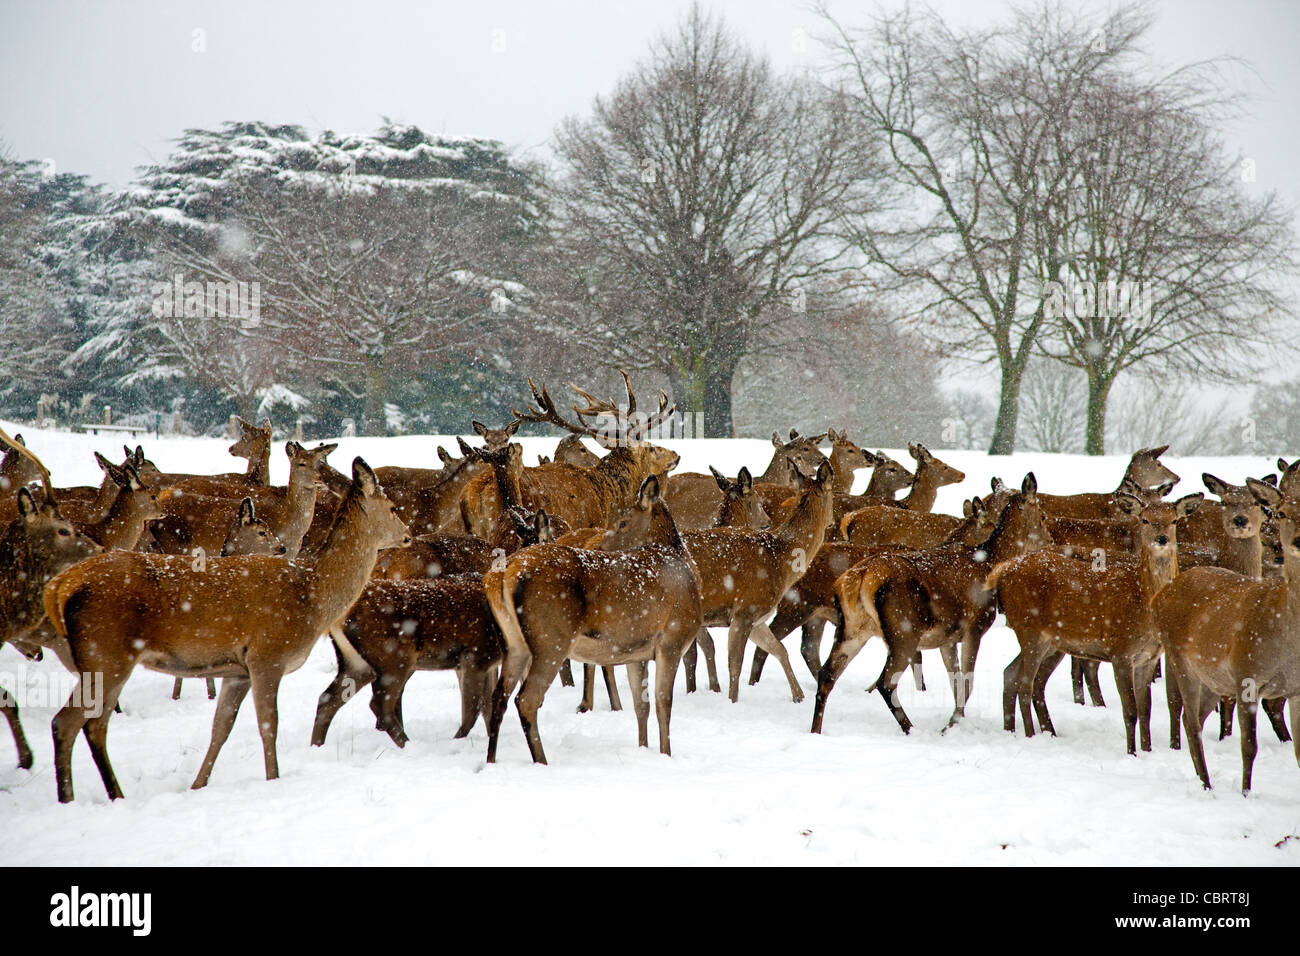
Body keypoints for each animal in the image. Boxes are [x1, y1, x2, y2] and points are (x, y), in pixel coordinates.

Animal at [44, 457, 411, 802]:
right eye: (393, 507)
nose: (408, 534)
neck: (312, 596)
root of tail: (62, 586)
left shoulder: (237, 670)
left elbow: (220, 728)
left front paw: (197, 784)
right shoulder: (268, 655)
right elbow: (268, 724)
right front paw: (273, 780)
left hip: (101, 658)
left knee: (82, 723)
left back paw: (92, 794)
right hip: (106, 653)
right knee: (79, 722)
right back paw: (89, 795)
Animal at [482, 475, 702, 765]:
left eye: (622, 522)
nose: (598, 547)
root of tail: (499, 576)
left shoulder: (638, 650)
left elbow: (640, 705)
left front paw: (643, 749)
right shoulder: (672, 639)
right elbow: (663, 703)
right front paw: (666, 754)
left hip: (513, 642)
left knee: (499, 697)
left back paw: (491, 760)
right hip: (551, 640)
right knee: (527, 699)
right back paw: (542, 761)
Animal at [813, 473, 1050, 736]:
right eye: (1043, 516)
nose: (1051, 542)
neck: (990, 561)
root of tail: (859, 578)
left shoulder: (947, 638)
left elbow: (955, 682)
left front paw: (957, 722)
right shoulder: (975, 625)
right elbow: (967, 683)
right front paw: (949, 726)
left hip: (852, 628)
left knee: (827, 674)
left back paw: (816, 729)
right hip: (904, 630)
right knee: (885, 682)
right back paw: (911, 728)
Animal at [989, 492, 1204, 755]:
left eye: (1173, 520)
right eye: (1144, 519)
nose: (1161, 539)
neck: (1142, 600)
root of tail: (1005, 570)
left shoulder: (1148, 657)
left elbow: (1146, 711)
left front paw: (1148, 750)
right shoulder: (1120, 649)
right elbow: (1130, 711)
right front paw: (1132, 753)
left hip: (1050, 642)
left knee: (1011, 673)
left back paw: (1018, 730)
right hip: (1029, 630)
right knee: (1024, 685)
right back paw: (1030, 735)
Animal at [1154, 477, 1300, 793]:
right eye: (1281, 512)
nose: (1296, 540)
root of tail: (1160, 596)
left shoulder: (1296, 689)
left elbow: (1298, 752)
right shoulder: (1247, 675)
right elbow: (1249, 746)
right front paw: (1245, 793)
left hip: (1213, 678)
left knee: (1196, 716)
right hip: (1181, 660)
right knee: (1189, 721)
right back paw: (1206, 784)